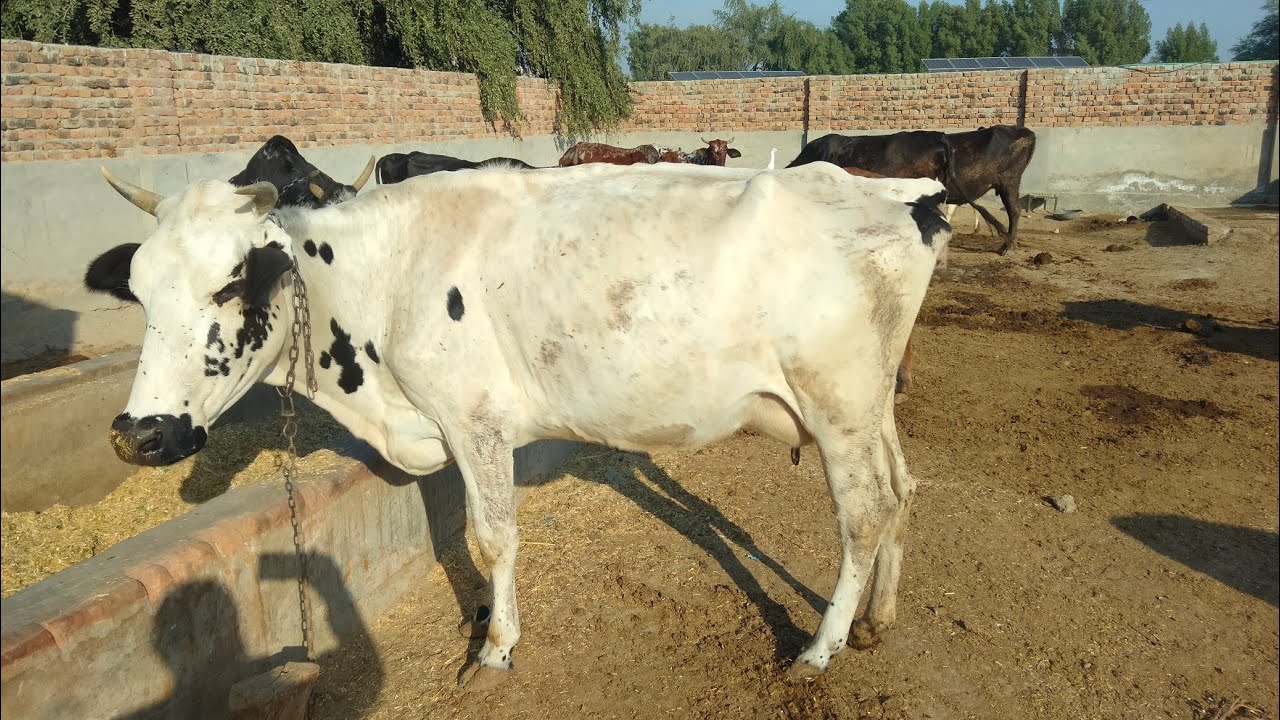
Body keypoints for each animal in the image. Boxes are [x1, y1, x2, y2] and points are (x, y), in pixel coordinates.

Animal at [86, 161, 951, 690]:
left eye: (233, 282)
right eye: (139, 287)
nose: (141, 434)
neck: (385, 275)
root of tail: (902, 192)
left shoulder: (475, 421)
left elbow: (491, 538)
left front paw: (496, 647)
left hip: (838, 406)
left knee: (865, 512)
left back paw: (819, 648)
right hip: (871, 405)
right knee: (905, 490)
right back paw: (876, 620)